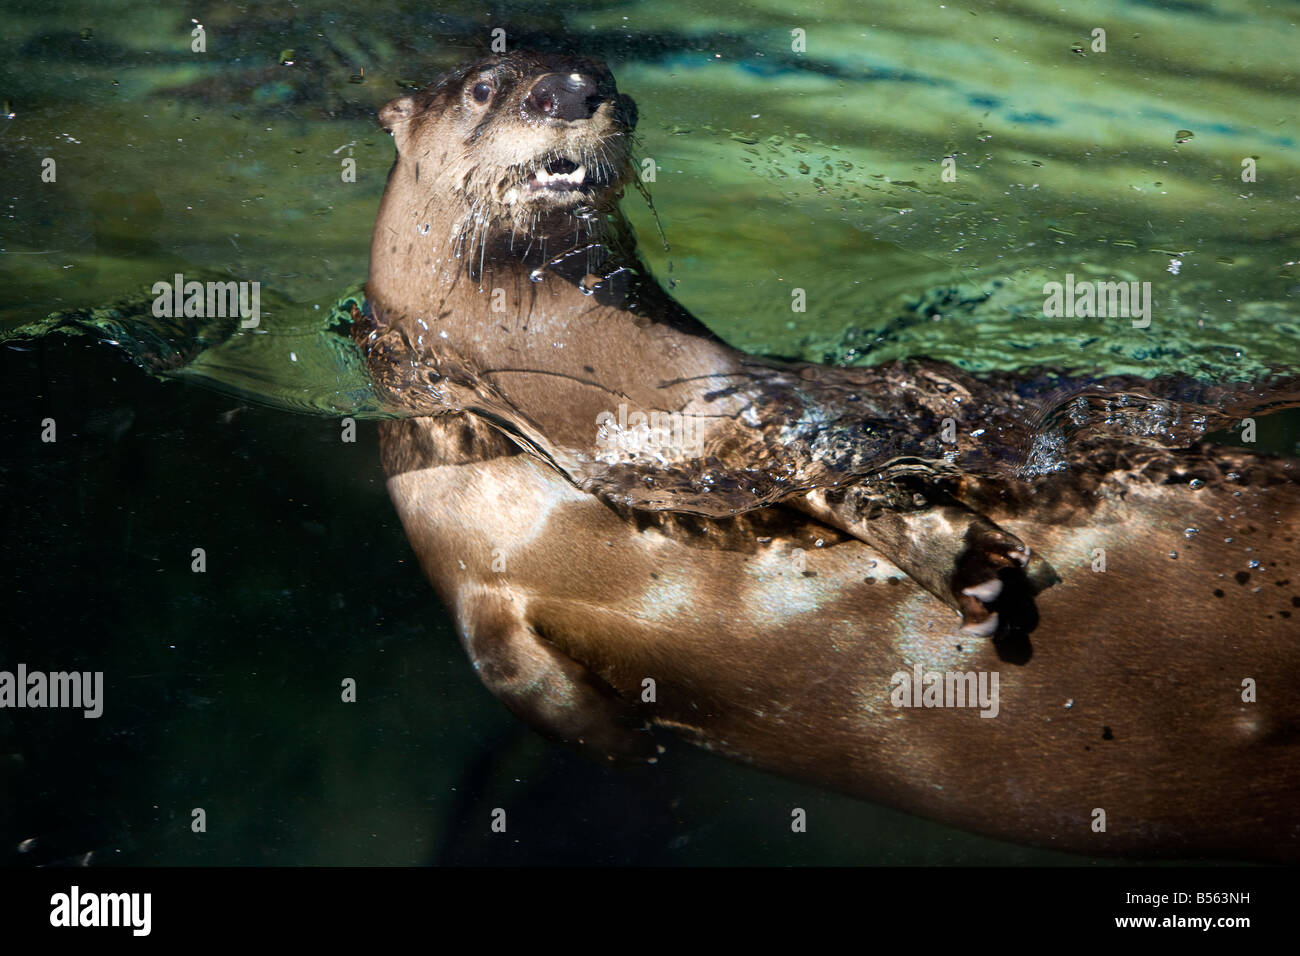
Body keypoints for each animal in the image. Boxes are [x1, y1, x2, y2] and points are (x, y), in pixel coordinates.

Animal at [359, 51, 1300, 860]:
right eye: (484, 86)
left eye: (605, 72)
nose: (572, 90)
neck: (583, 404)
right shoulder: (466, 569)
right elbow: (526, 687)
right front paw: (634, 750)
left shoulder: (774, 428)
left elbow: (866, 484)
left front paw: (972, 568)